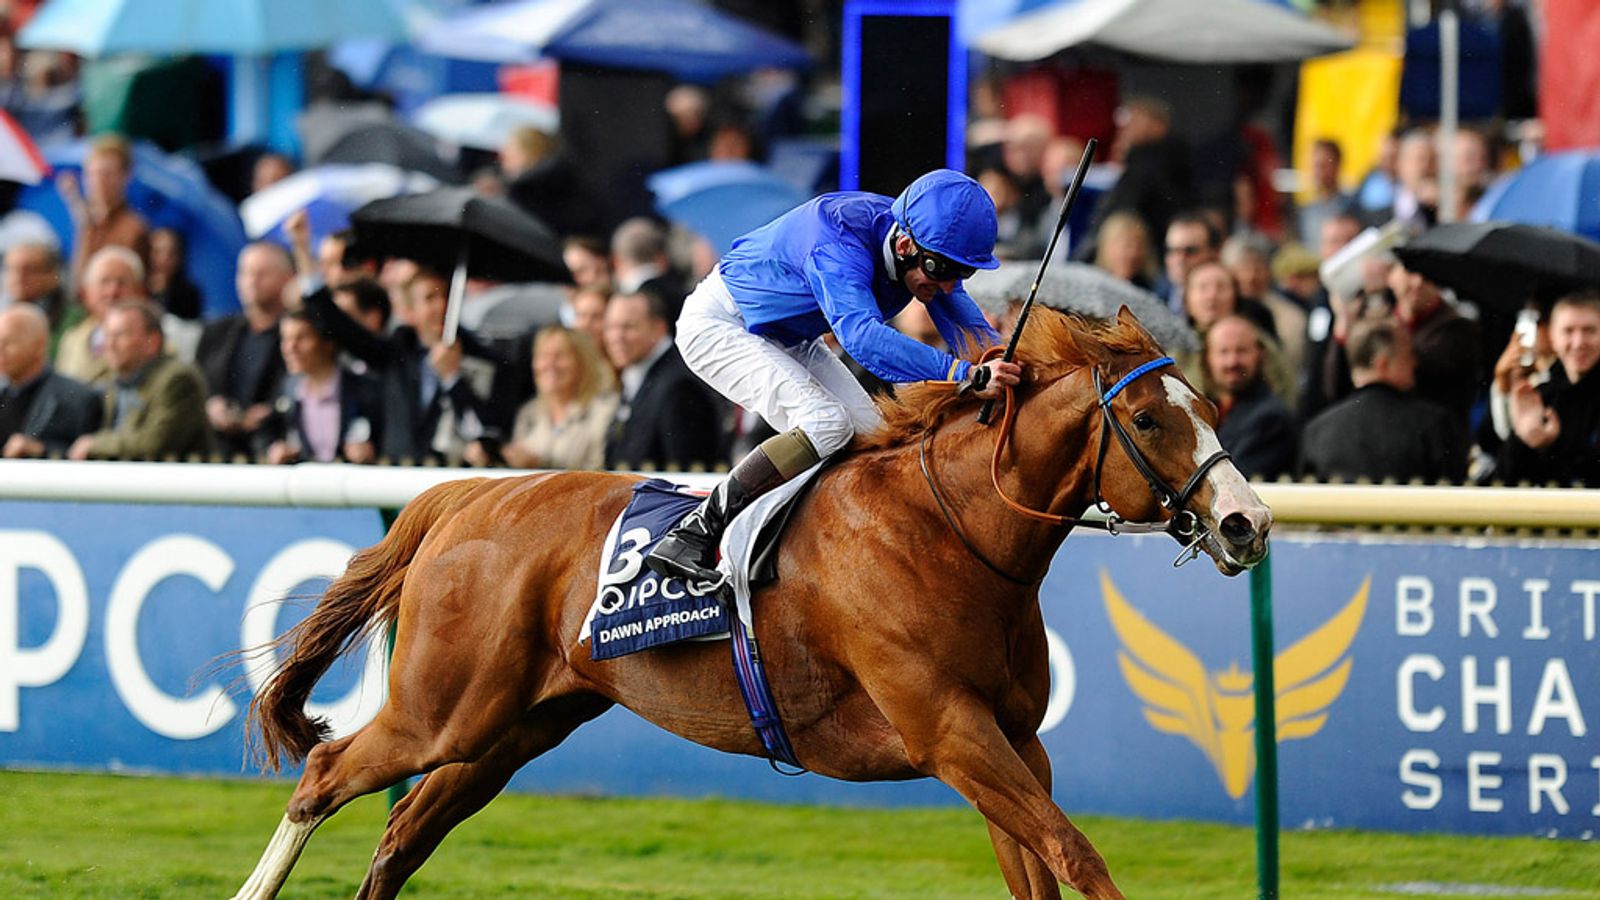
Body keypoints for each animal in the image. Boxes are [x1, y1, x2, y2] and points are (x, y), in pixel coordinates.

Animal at [231, 307, 1271, 900]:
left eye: (1213, 408)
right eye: (1147, 420)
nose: (1247, 523)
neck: (953, 535)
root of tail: (463, 498)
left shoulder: (1016, 741)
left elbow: (1043, 864)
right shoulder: (950, 731)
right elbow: (1076, 854)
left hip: (512, 727)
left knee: (402, 835)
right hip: (441, 711)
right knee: (325, 776)